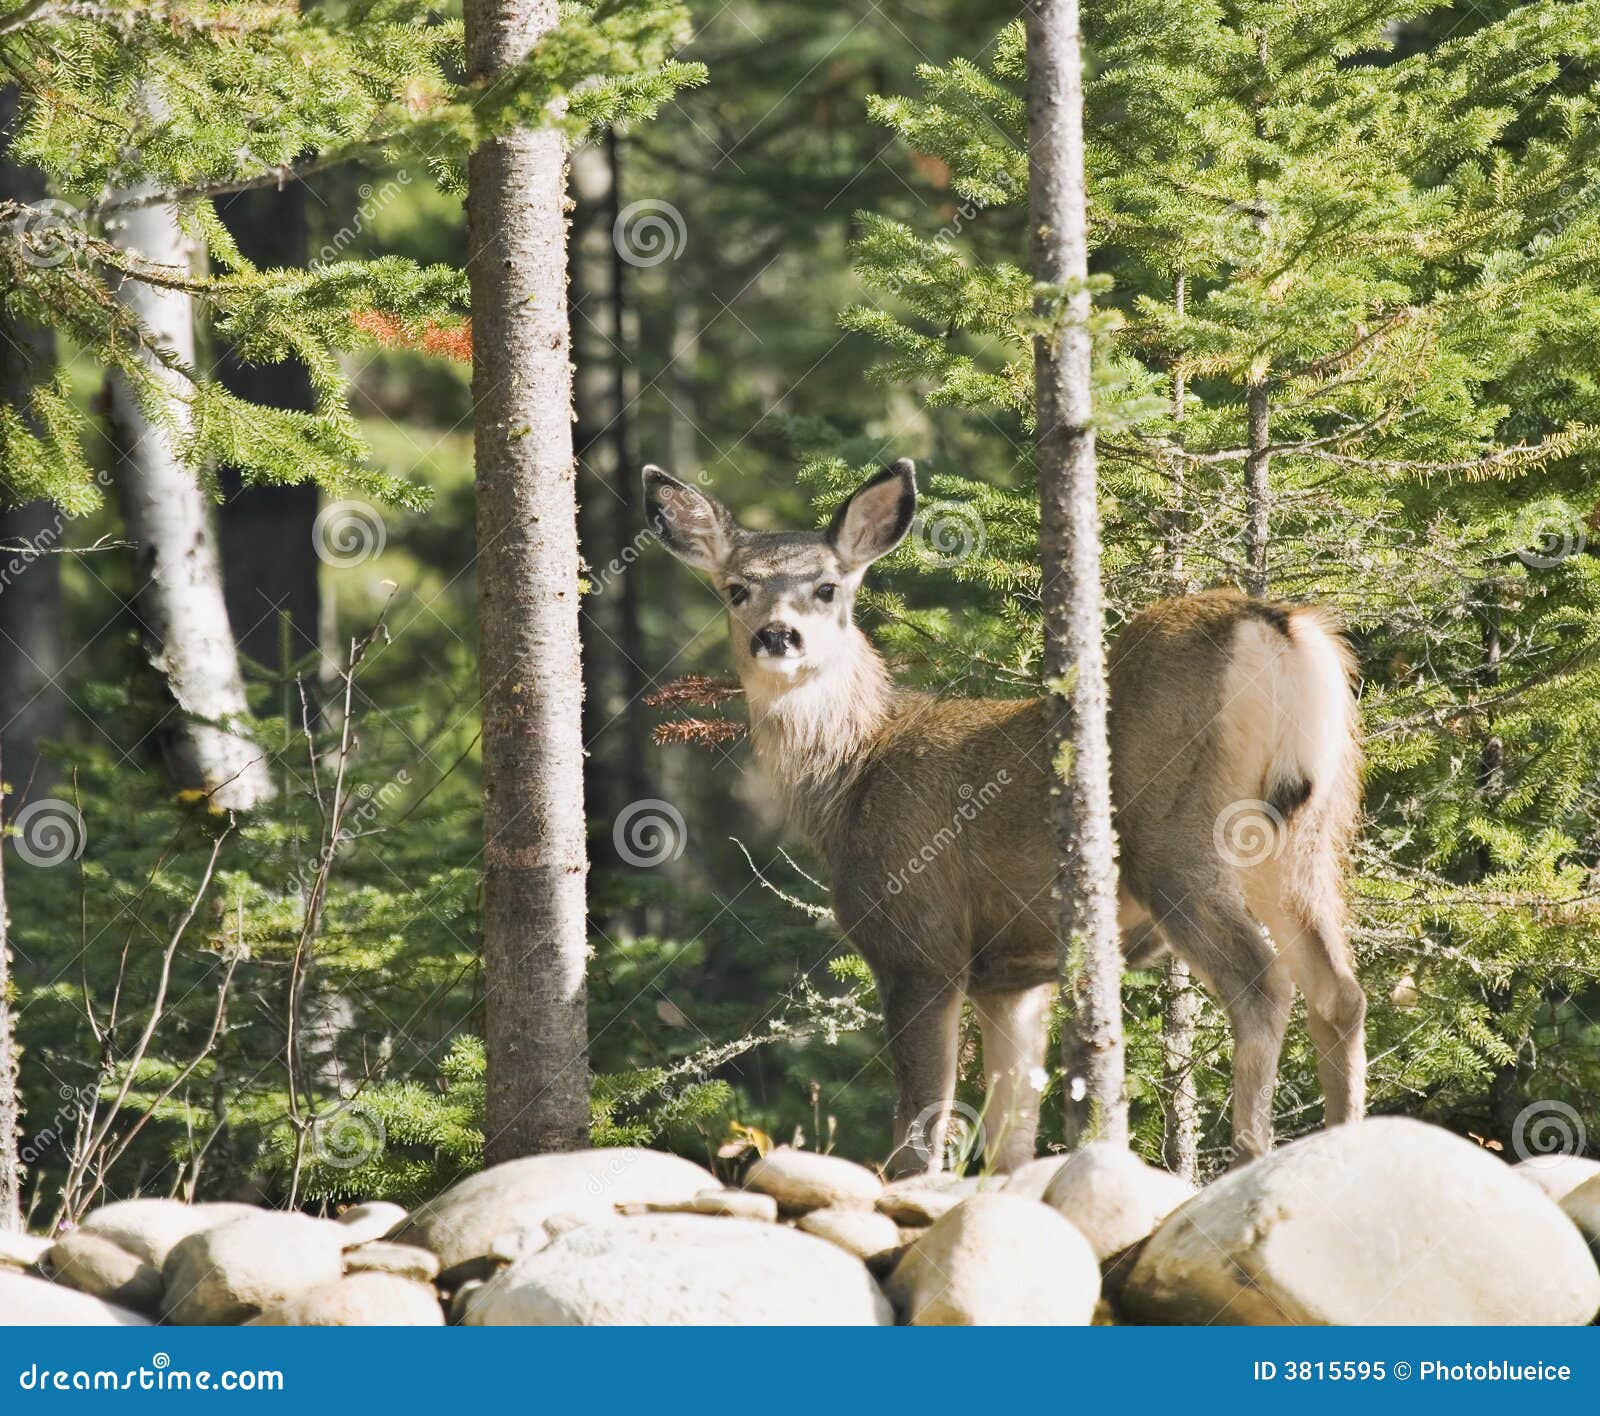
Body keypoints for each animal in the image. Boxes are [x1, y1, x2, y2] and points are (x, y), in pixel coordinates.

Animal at [644, 457, 1365, 1176]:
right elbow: (1010, 1142)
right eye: (736, 589)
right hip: (1313, 825)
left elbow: (921, 1130)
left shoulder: (921, 945)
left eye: (827, 588)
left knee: (1264, 985)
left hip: (1176, 836)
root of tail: (1274, 627)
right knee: (1339, 991)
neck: (854, 773)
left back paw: (1252, 1156)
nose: (777, 635)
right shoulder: (1013, 975)